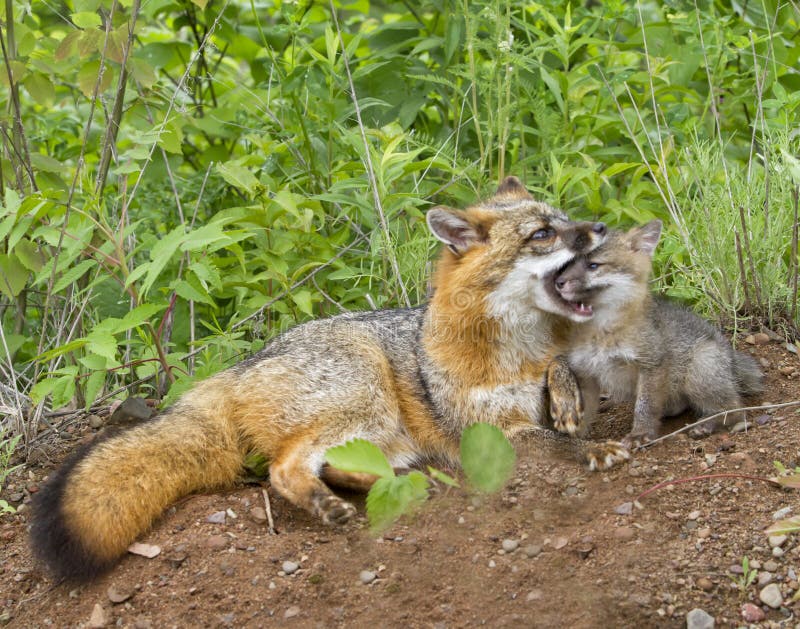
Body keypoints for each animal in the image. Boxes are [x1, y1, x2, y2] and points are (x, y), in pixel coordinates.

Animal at [31, 177, 630, 583]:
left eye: (566, 218)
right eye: (544, 233)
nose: (602, 228)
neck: (514, 353)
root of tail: (241, 367)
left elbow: (562, 367)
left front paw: (566, 398)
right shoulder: (489, 432)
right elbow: (552, 443)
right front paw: (593, 448)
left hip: (381, 431)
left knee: (343, 467)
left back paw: (409, 483)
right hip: (363, 397)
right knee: (285, 468)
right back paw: (331, 503)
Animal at [550, 219, 764, 447]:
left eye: (593, 265)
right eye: (565, 266)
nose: (558, 283)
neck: (600, 334)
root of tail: (731, 357)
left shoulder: (652, 363)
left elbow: (645, 406)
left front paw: (641, 433)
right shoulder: (584, 373)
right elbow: (582, 413)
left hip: (699, 374)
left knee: (735, 409)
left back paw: (706, 425)